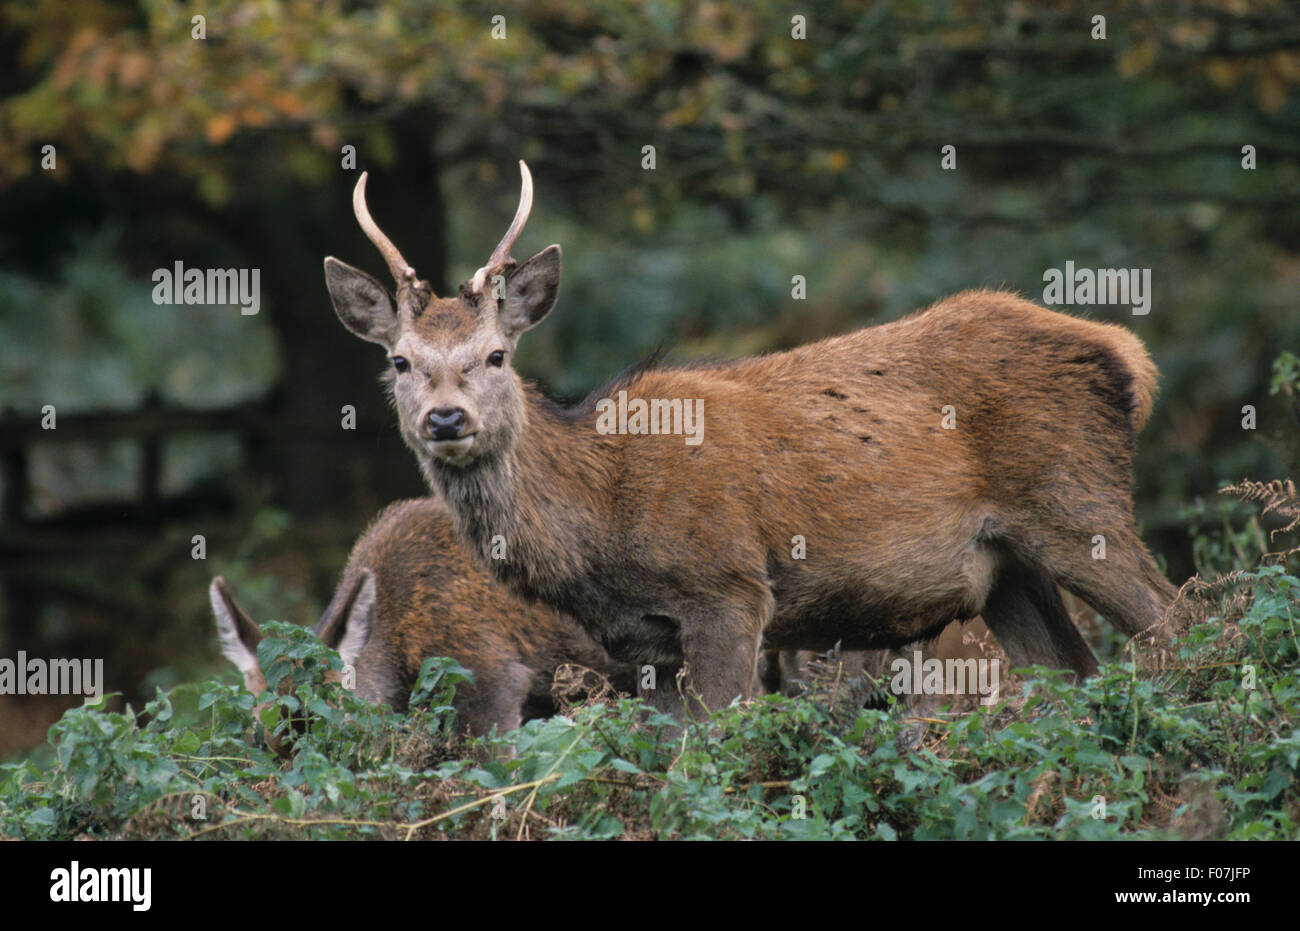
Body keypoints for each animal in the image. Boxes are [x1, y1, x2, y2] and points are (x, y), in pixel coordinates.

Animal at [322, 161, 1178, 725]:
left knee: (1179, 622)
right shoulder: (647, 643)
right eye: (400, 361)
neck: (599, 514)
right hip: (1006, 570)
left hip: (1079, 504)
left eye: (497, 354)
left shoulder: (726, 586)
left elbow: (717, 748)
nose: (445, 419)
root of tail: (1125, 354)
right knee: (1074, 675)